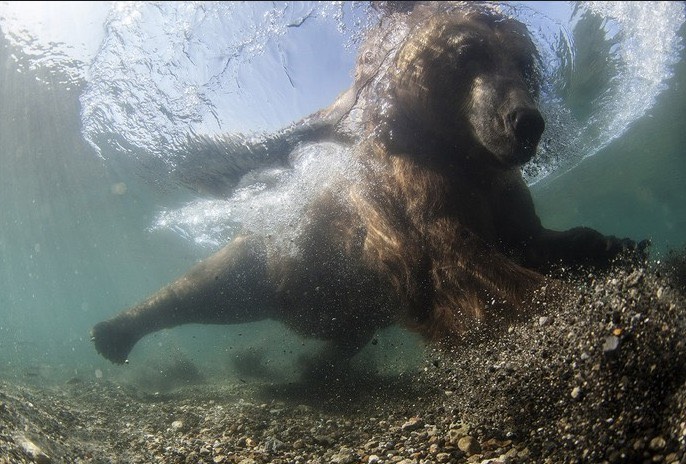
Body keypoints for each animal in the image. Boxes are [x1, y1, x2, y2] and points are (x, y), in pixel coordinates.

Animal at [90, 1, 644, 368]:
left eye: (525, 64)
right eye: (468, 54)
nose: (525, 121)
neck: (459, 157)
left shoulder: (499, 187)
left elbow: (528, 236)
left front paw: (612, 244)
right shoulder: (412, 195)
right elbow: (456, 262)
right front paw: (562, 311)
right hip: (282, 255)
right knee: (213, 283)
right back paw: (113, 331)